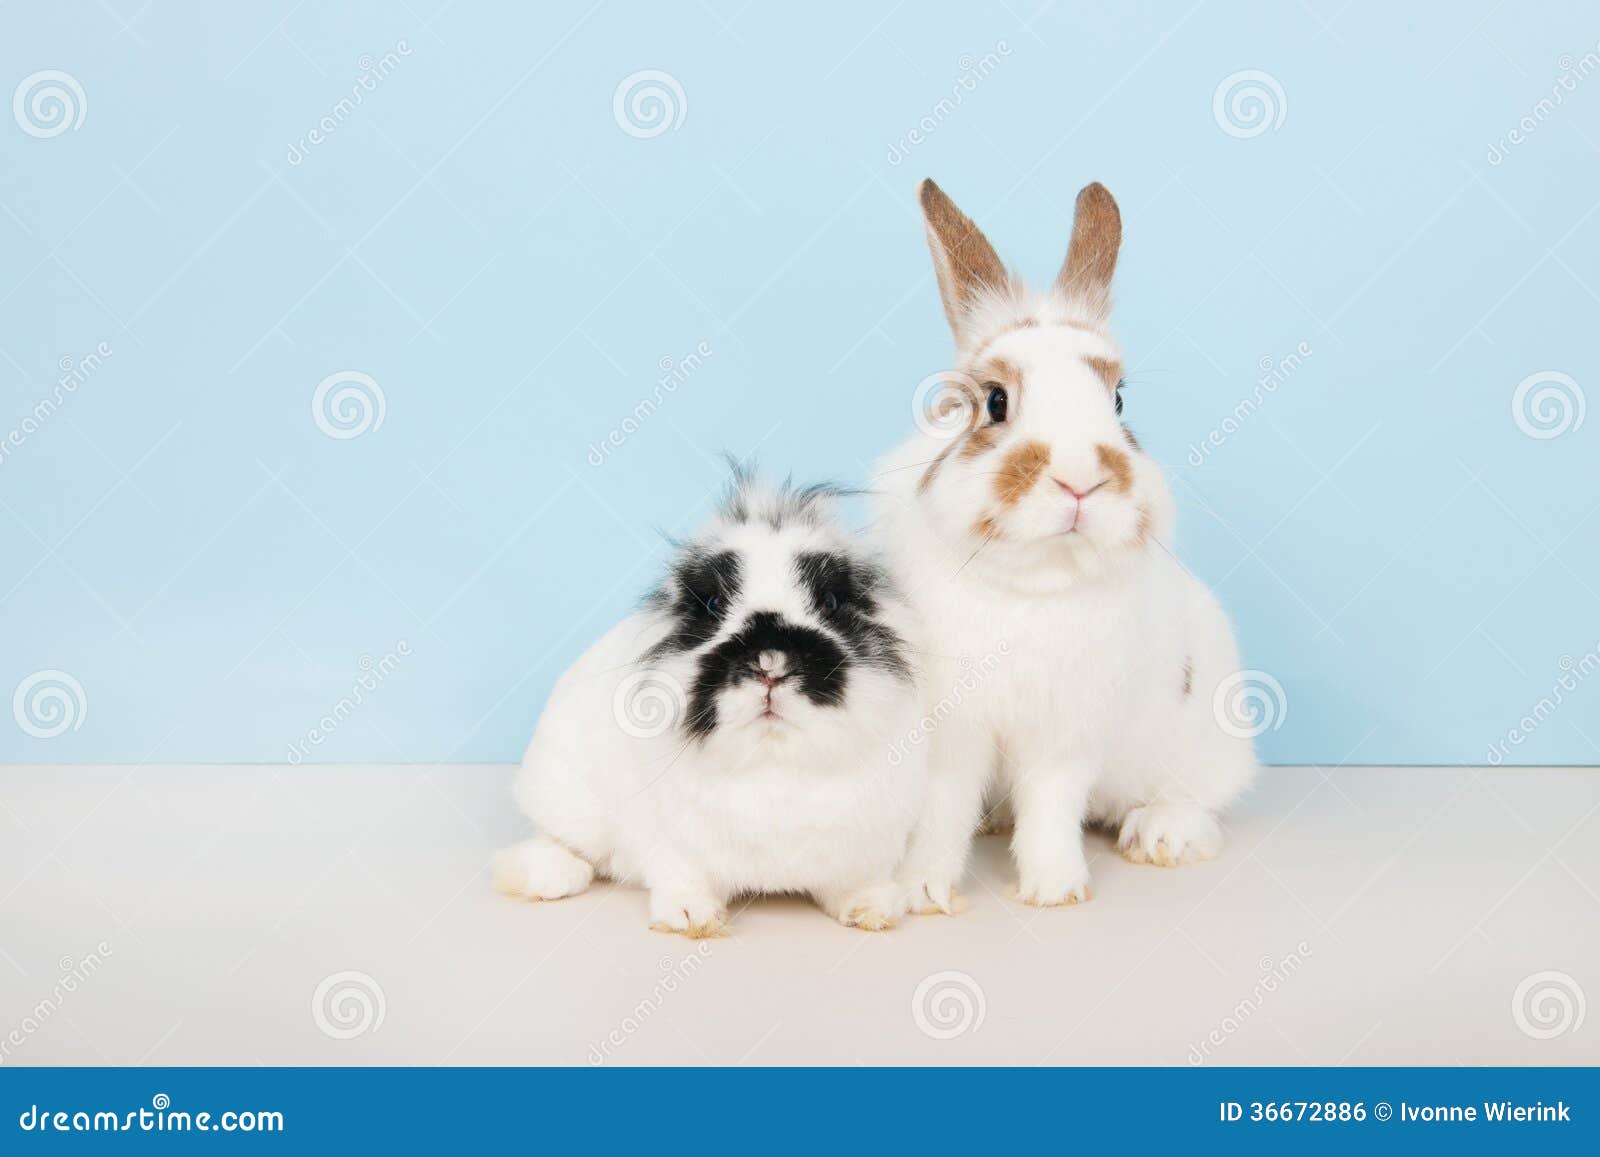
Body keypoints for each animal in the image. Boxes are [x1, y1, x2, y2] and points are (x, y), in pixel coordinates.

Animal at [494, 467, 928, 937]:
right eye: (713, 604)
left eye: (830, 603)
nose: (770, 665)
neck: (771, 759)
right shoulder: (672, 844)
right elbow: (684, 878)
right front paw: (691, 918)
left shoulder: (862, 848)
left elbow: (852, 883)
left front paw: (873, 909)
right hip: (566, 795)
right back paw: (542, 876)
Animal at [873, 179, 1259, 915]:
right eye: (995, 401)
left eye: (1119, 401)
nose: (1082, 478)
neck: (1033, 584)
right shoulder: (948, 729)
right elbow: (942, 807)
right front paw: (922, 890)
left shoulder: (1066, 730)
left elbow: (1052, 804)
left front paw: (1054, 889)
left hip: (1200, 733)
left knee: (1206, 798)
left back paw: (1162, 834)